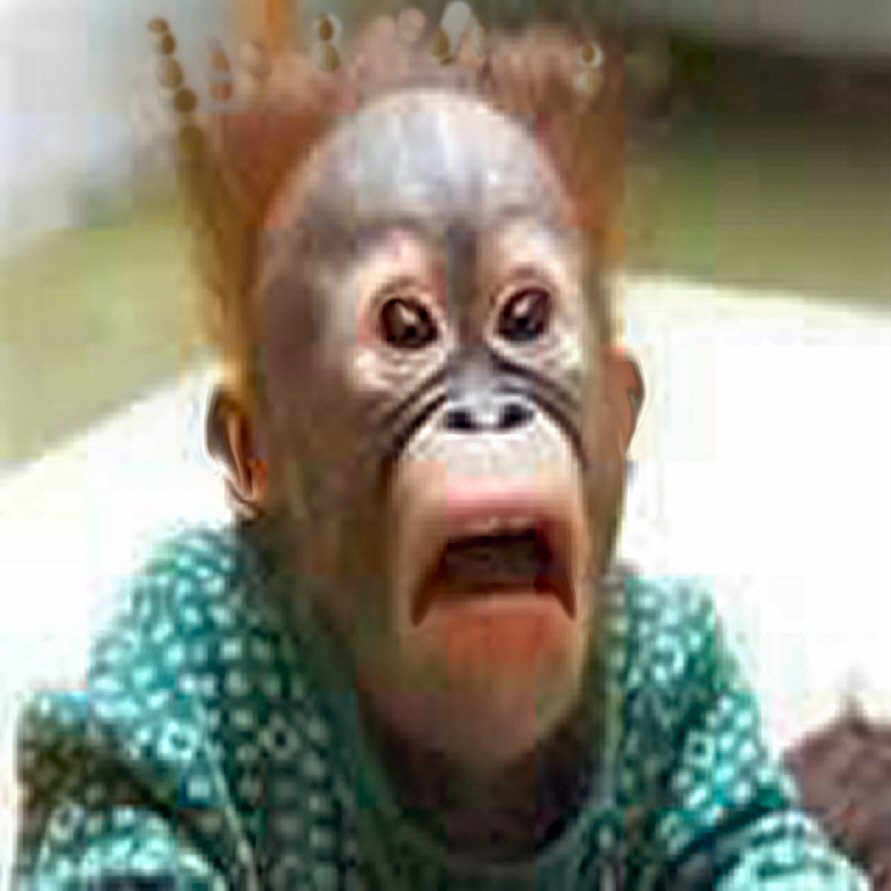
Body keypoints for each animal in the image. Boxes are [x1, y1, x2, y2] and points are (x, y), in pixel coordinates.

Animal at [12, 10, 869, 889]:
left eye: (524, 316)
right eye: (405, 325)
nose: (486, 415)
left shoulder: (690, 667)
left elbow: (751, 832)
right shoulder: (175, 628)